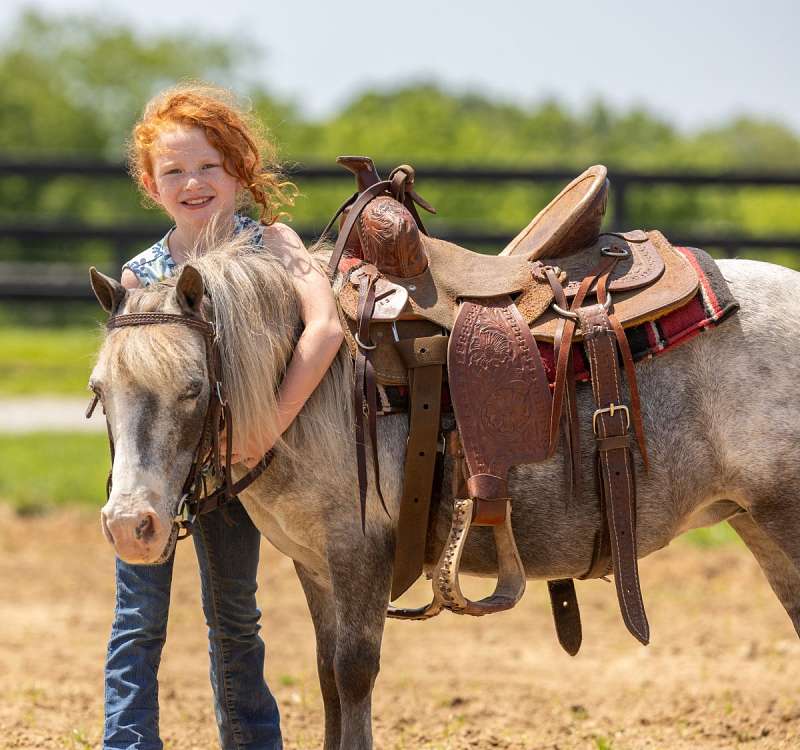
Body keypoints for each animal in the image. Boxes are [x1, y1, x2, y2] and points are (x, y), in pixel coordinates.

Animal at [89, 231, 800, 750]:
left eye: (193, 388)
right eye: (100, 389)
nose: (130, 527)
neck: (312, 382)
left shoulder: (359, 555)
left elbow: (353, 673)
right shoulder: (314, 565)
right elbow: (325, 677)